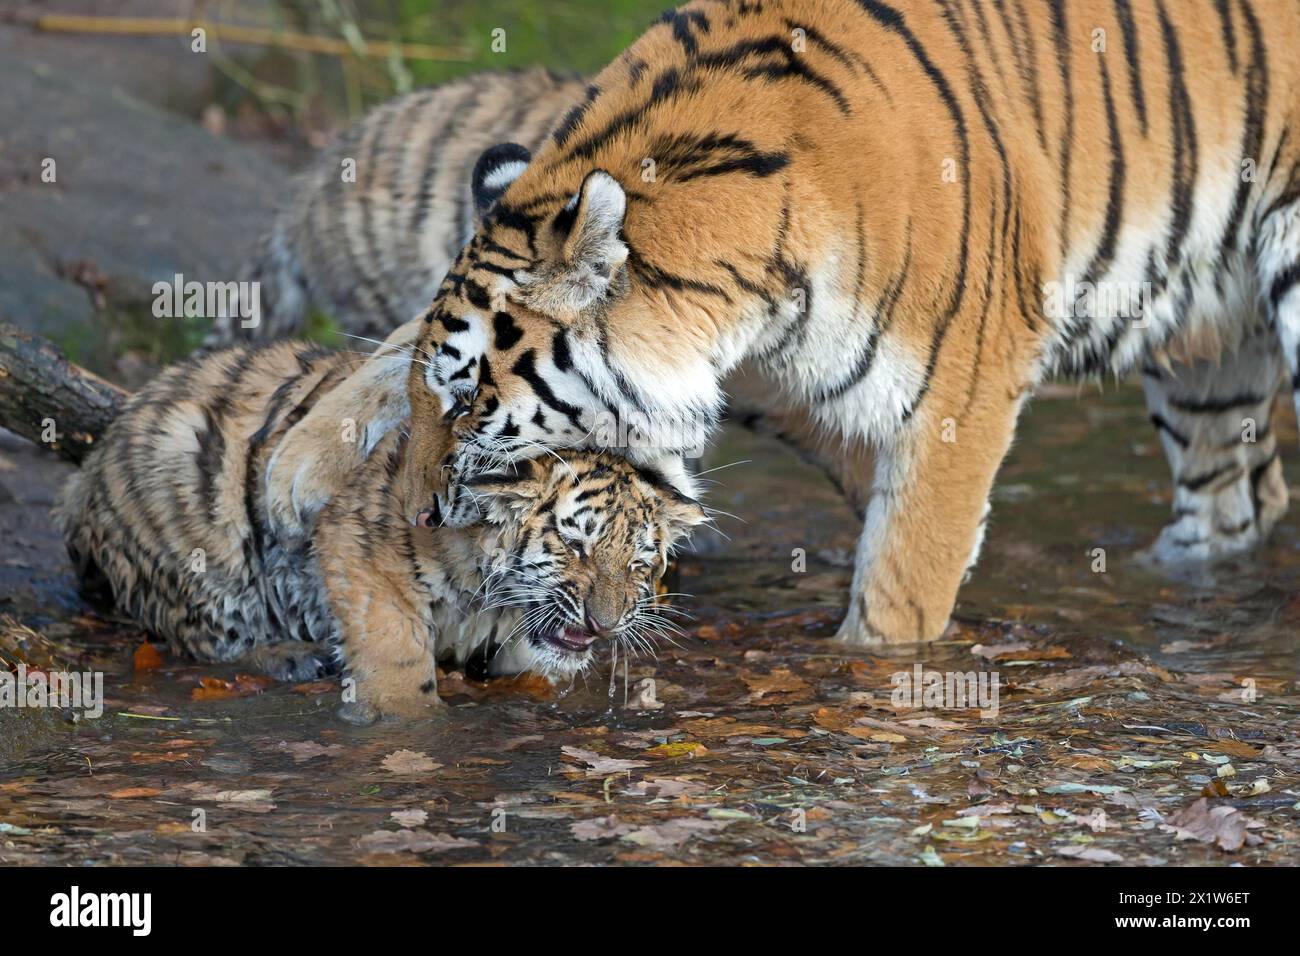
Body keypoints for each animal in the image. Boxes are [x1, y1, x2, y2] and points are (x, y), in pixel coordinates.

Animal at [53, 326, 706, 718]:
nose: (605, 625)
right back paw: (289, 656)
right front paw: (406, 722)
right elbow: (395, 657)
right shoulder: (360, 546)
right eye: (575, 546)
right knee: (202, 640)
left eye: (639, 564)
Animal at [263, 0, 1300, 649]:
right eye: (435, 399)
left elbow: (901, 587)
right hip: (1212, 358)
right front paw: (293, 466)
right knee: (1238, 500)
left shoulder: (960, 398)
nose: (422, 514)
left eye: (473, 407)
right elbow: (399, 335)